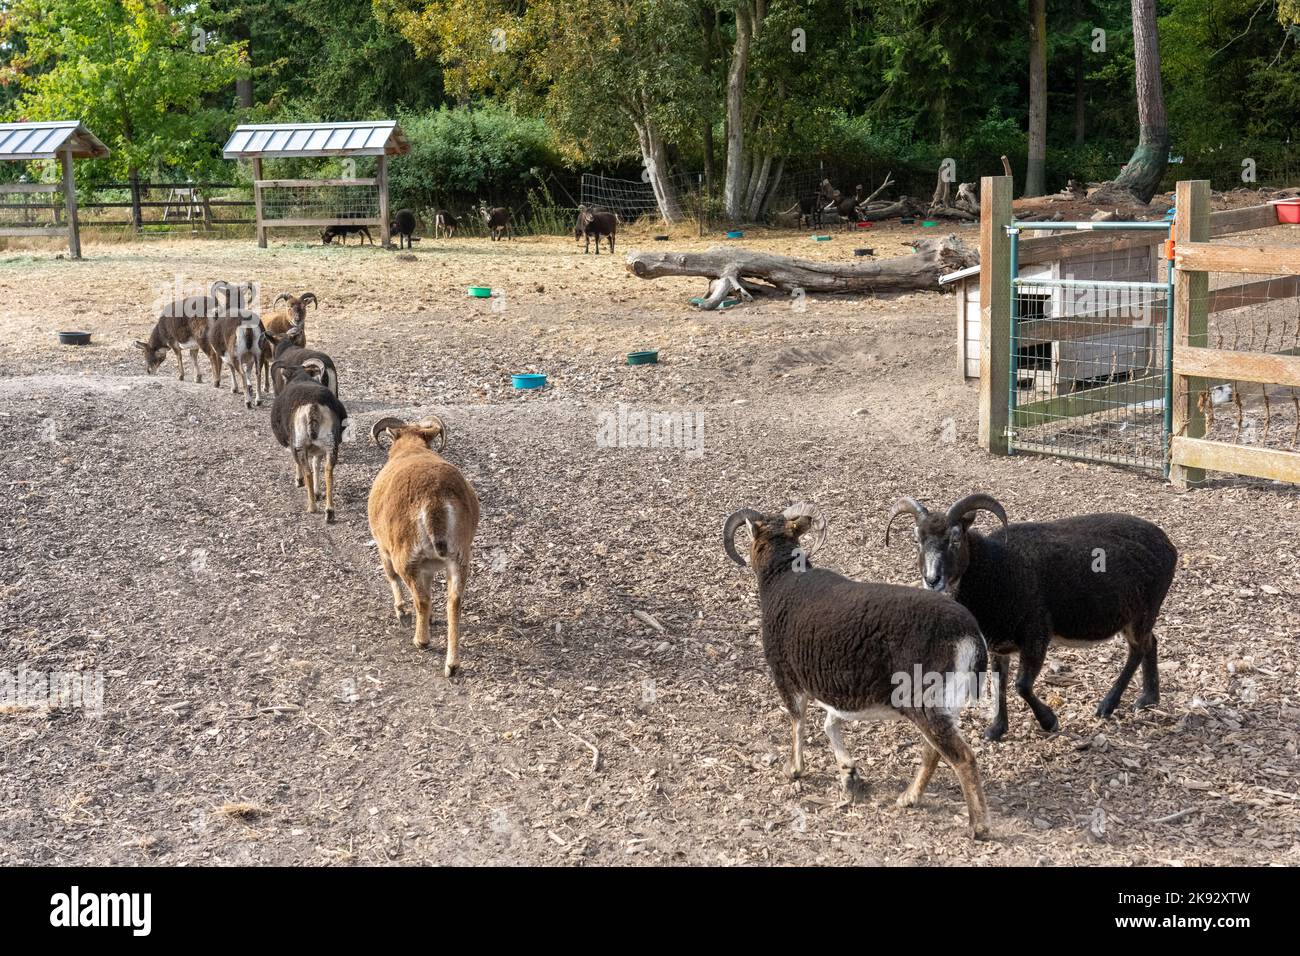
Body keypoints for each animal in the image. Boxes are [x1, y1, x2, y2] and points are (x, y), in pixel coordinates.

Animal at [269, 358, 348, 522]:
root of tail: (312, 406)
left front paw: (298, 482)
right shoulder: (318, 450)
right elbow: (317, 466)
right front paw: (318, 494)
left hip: (300, 446)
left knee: (307, 472)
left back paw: (312, 508)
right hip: (330, 446)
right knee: (328, 471)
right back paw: (329, 512)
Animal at [368, 414, 481, 678]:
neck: (411, 448)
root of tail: (435, 499)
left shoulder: (384, 549)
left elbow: (393, 578)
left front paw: (401, 611)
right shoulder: (428, 567)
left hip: (405, 557)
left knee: (421, 598)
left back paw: (421, 641)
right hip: (460, 558)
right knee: (454, 602)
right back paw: (452, 664)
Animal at [724, 503, 991, 840]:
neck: (783, 579)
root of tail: (969, 635)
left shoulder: (786, 674)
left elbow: (798, 720)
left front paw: (794, 770)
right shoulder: (837, 690)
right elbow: (830, 723)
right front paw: (849, 775)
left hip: (926, 699)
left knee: (961, 757)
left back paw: (978, 826)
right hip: (947, 701)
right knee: (934, 751)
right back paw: (908, 798)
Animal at [886, 493, 1178, 741]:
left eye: (955, 539)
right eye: (917, 540)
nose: (932, 579)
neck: (997, 569)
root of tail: (1169, 545)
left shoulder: (1036, 634)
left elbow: (1022, 685)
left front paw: (1049, 721)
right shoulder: (998, 643)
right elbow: (1000, 682)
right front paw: (996, 730)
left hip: (1143, 611)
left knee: (1138, 649)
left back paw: (1107, 705)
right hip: (1136, 616)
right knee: (1150, 642)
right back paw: (1148, 698)